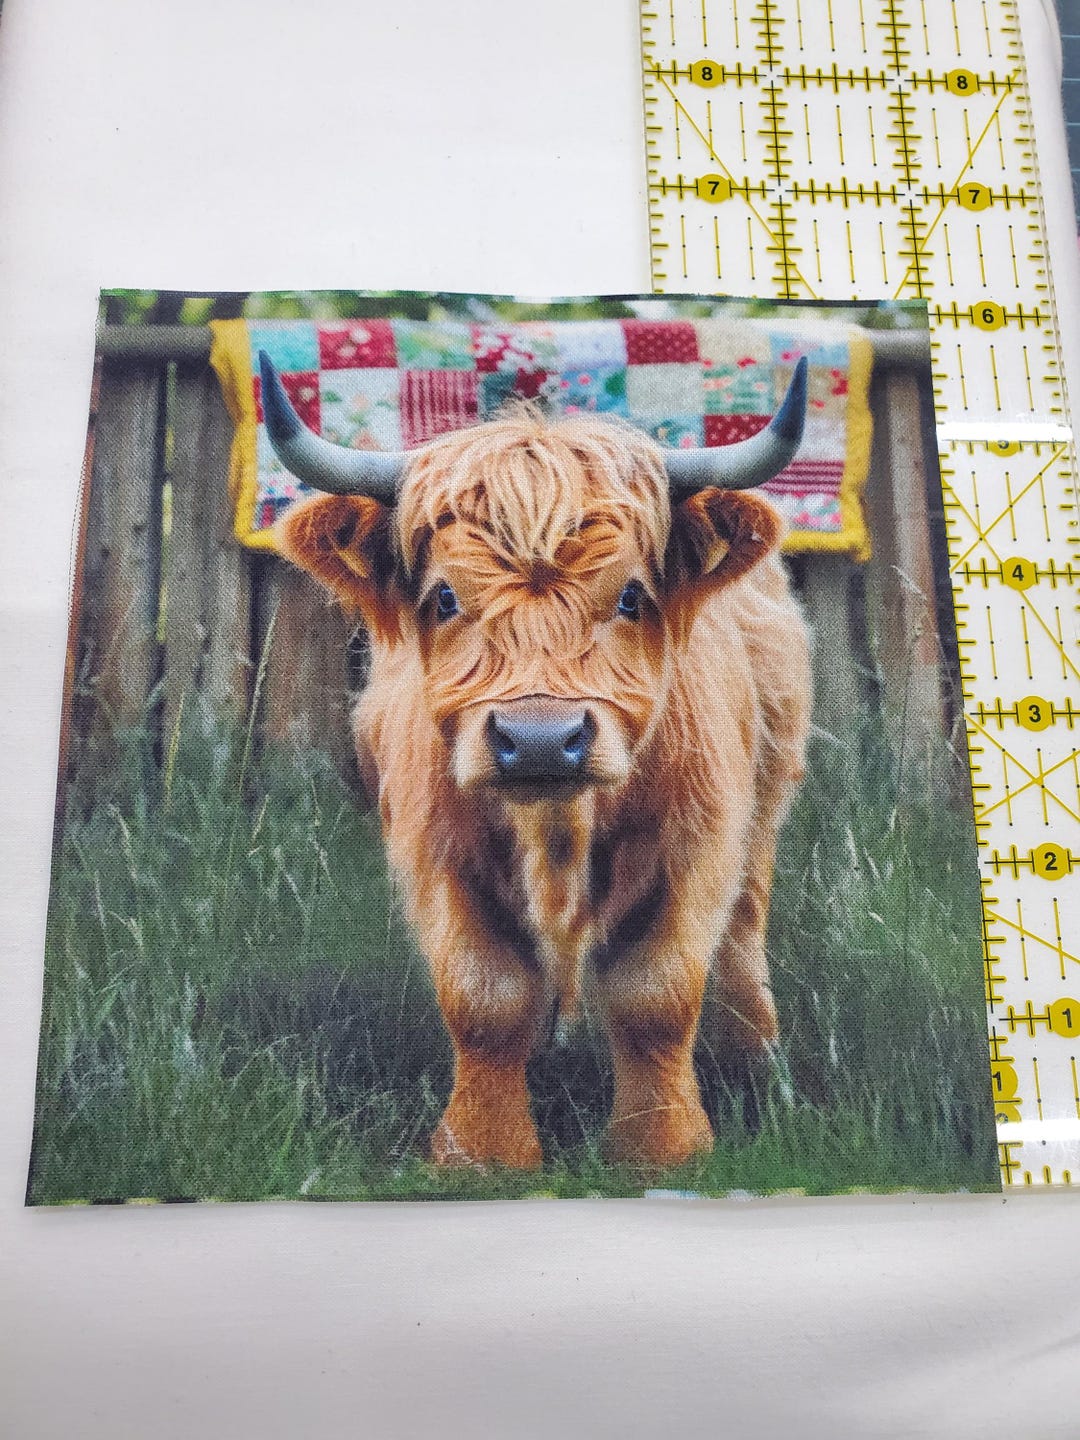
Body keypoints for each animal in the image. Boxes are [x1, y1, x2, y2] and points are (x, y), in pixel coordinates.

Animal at [260, 348, 812, 1170]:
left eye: (631, 597)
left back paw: (753, 1059)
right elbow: (485, 1000)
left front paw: (663, 1145)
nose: (543, 739)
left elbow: (656, 996)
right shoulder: (438, 851)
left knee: (744, 927)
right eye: (445, 597)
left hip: (765, 804)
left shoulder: (696, 841)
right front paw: (481, 1151)